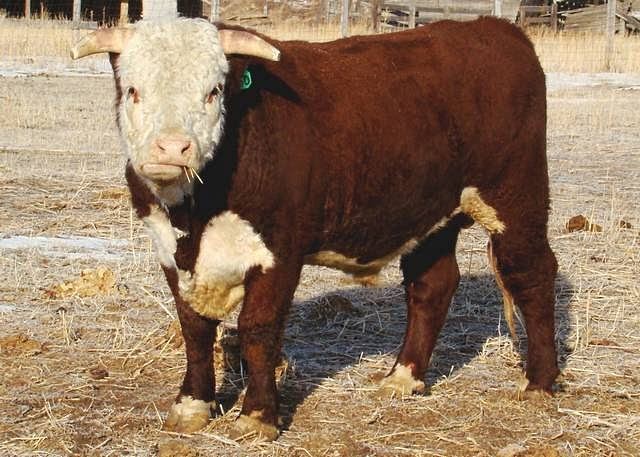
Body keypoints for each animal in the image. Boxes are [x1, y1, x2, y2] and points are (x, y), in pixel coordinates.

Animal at [71, 17, 559, 440]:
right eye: (133, 90)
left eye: (213, 91)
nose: (173, 148)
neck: (196, 214)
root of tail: (494, 28)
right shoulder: (169, 250)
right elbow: (194, 327)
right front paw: (192, 406)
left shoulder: (280, 250)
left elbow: (258, 328)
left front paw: (257, 417)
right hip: (429, 213)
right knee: (432, 285)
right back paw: (402, 378)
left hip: (517, 196)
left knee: (533, 275)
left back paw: (540, 383)